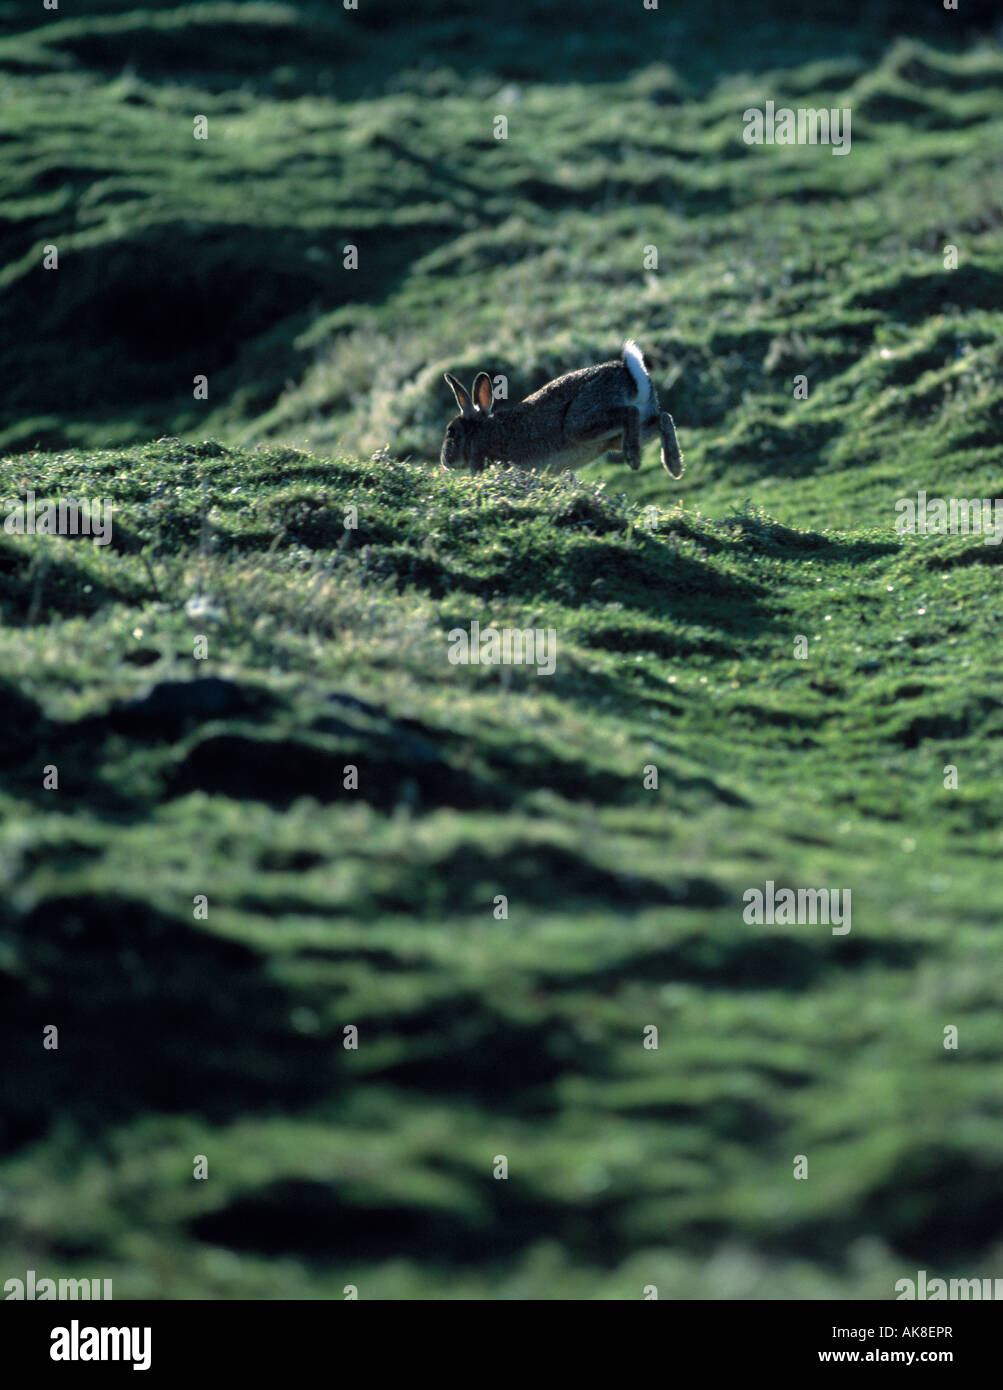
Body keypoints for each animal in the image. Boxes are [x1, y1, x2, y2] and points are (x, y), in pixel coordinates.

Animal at [440, 341, 684, 478]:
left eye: (451, 431)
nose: (445, 461)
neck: (478, 432)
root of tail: (630, 374)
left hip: (580, 424)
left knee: (630, 412)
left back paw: (634, 459)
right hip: (616, 437)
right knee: (664, 418)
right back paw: (674, 465)